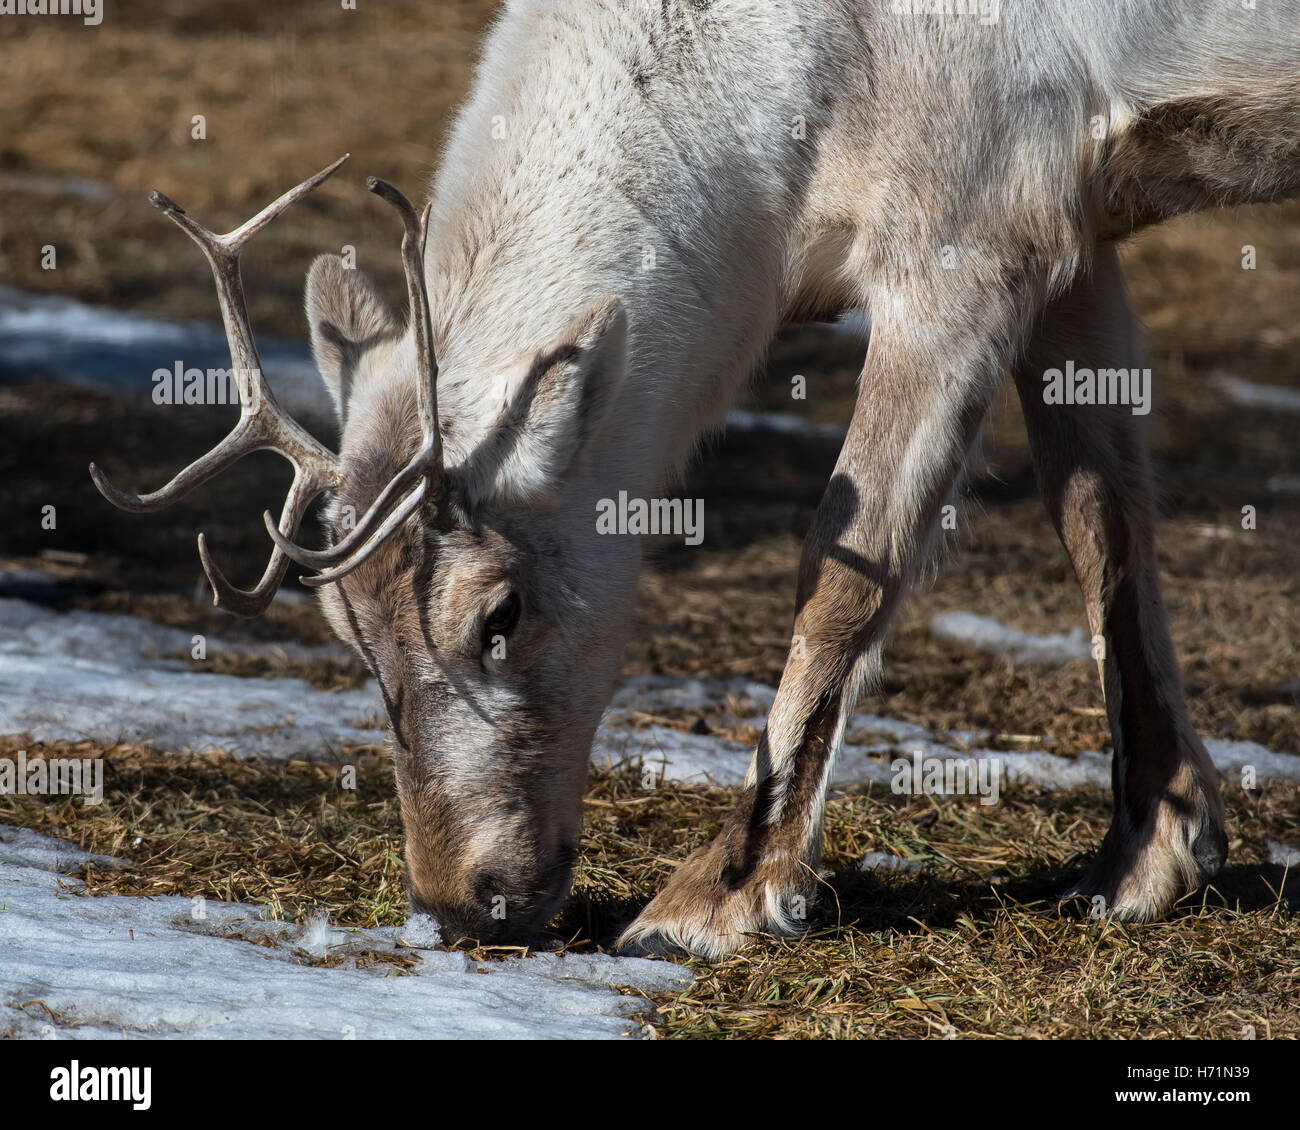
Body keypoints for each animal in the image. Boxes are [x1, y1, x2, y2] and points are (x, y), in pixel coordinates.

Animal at [91, 0, 1300, 959]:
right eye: (345, 627)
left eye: (501, 612)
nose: (459, 902)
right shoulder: (1072, 231)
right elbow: (1103, 522)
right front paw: (1150, 850)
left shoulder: (970, 237)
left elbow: (848, 567)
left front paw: (720, 893)